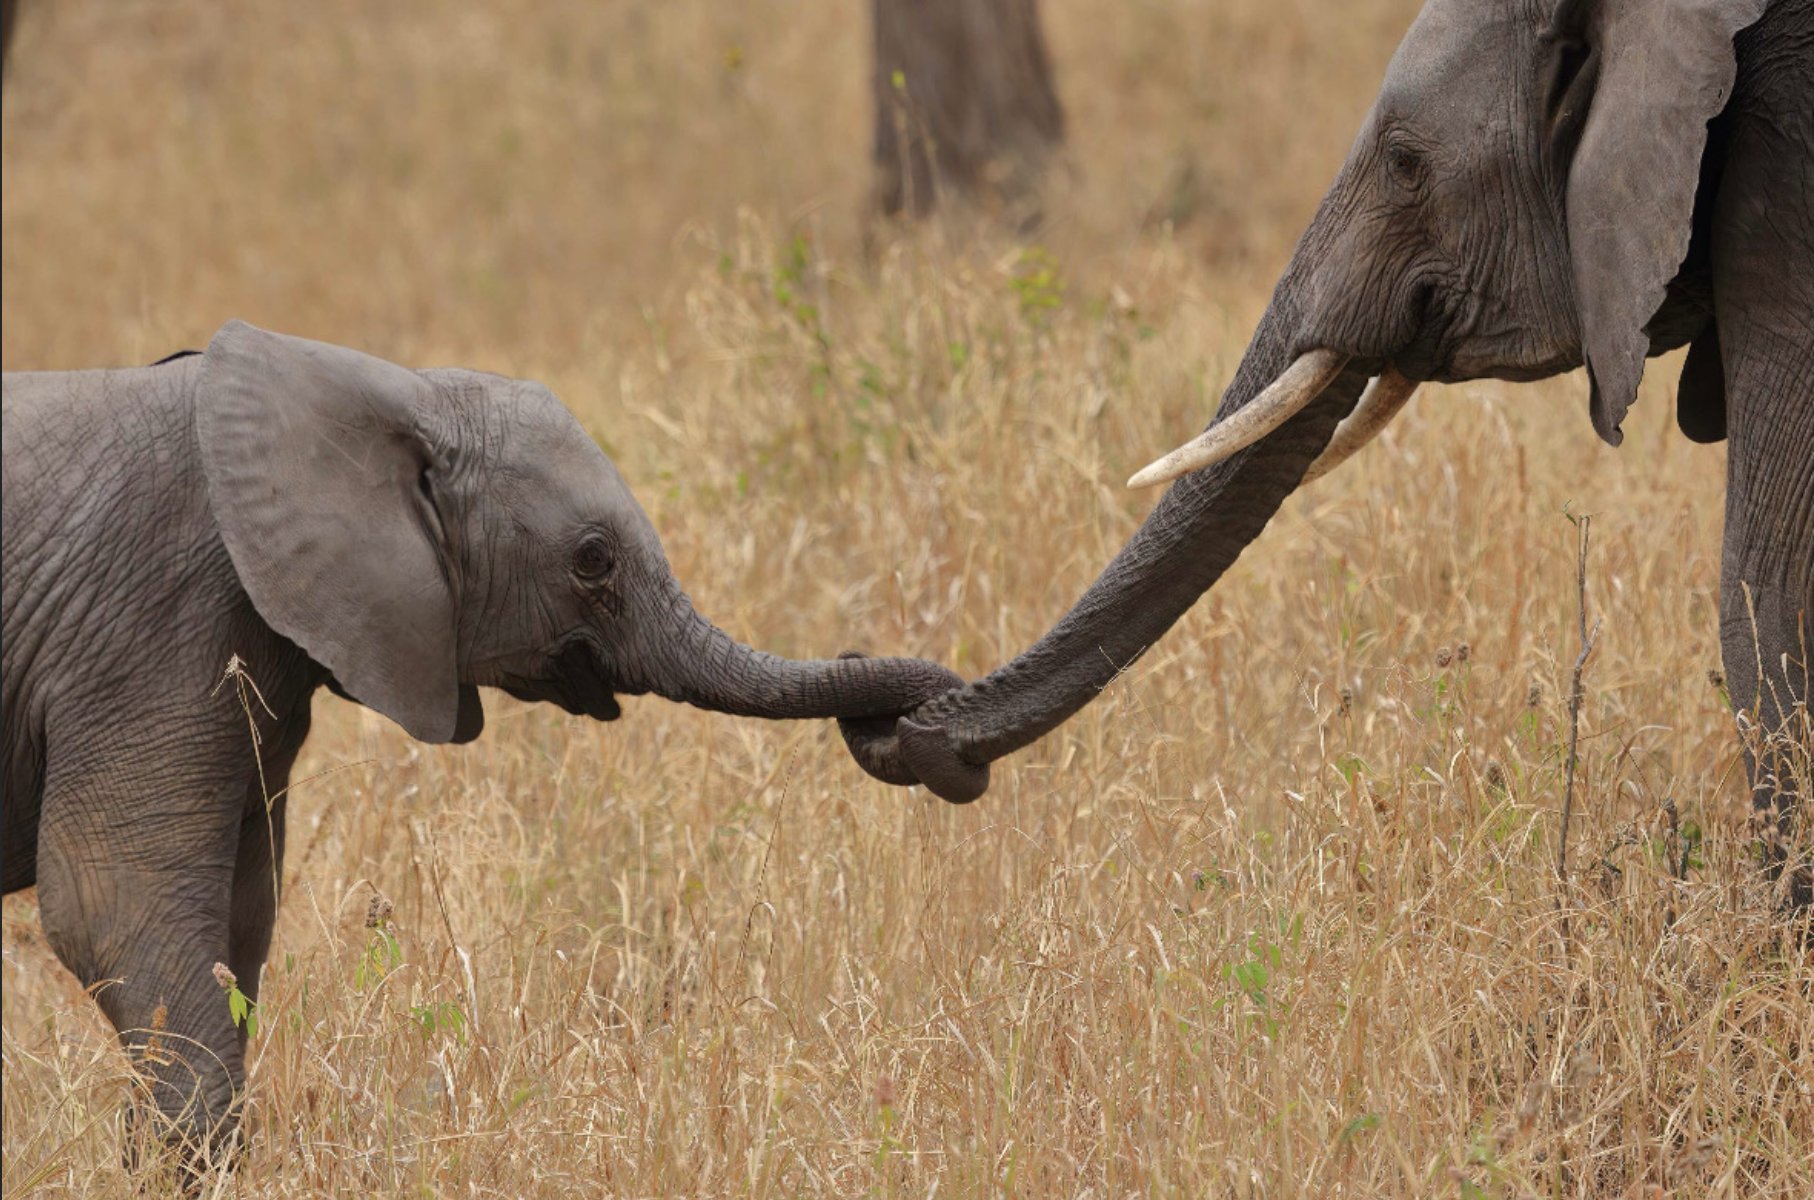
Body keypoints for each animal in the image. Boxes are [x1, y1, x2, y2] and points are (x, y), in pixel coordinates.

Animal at [0, 320, 961, 1153]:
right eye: (593, 561)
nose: (906, 726)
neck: (383, 394)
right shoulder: (156, 615)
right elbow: (112, 905)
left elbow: (239, 921)